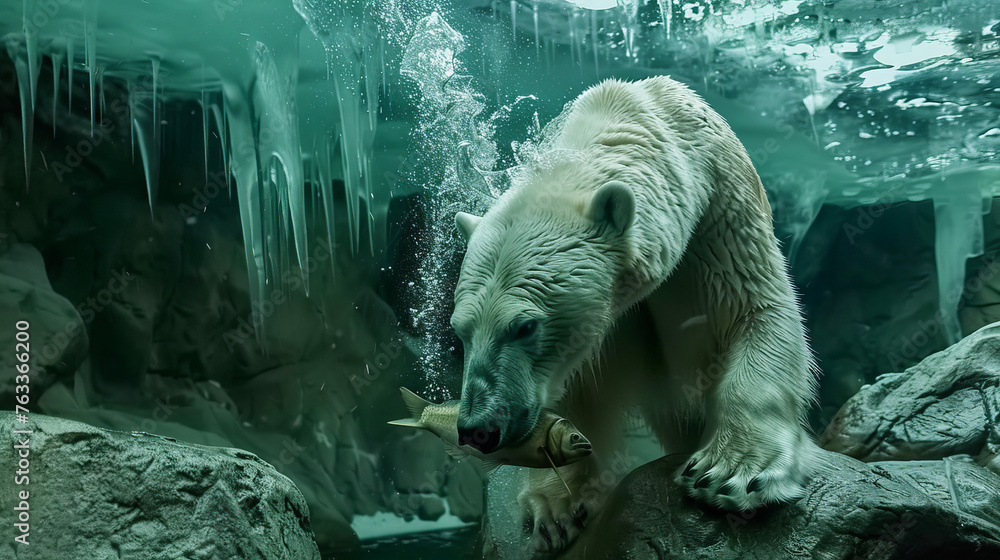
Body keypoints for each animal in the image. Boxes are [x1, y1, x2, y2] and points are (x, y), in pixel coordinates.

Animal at [449, 75, 818, 552]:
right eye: (459, 330)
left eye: (525, 327)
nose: (476, 428)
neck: (624, 111)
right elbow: (580, 388)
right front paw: (554, 507)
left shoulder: (719, 205)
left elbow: (752, 311)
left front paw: (731, 472)